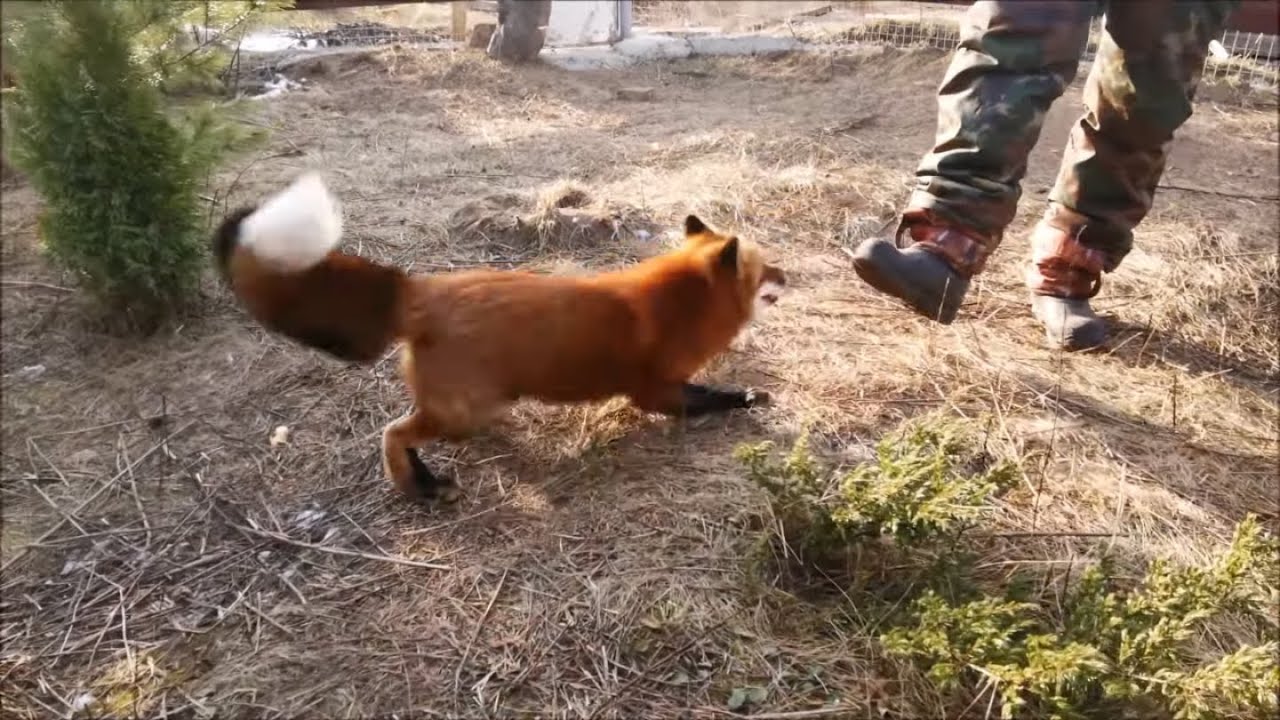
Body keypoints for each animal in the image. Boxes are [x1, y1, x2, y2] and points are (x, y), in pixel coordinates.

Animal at [214, 172, 787, 503]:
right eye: (766, 269)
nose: (791, 274)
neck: (677, 304)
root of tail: (421, 288)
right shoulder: (655, 390)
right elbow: (709, 398)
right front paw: (748, 399)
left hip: (474, 406)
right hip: (458, 412)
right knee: (393, 433)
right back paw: (419, 487)